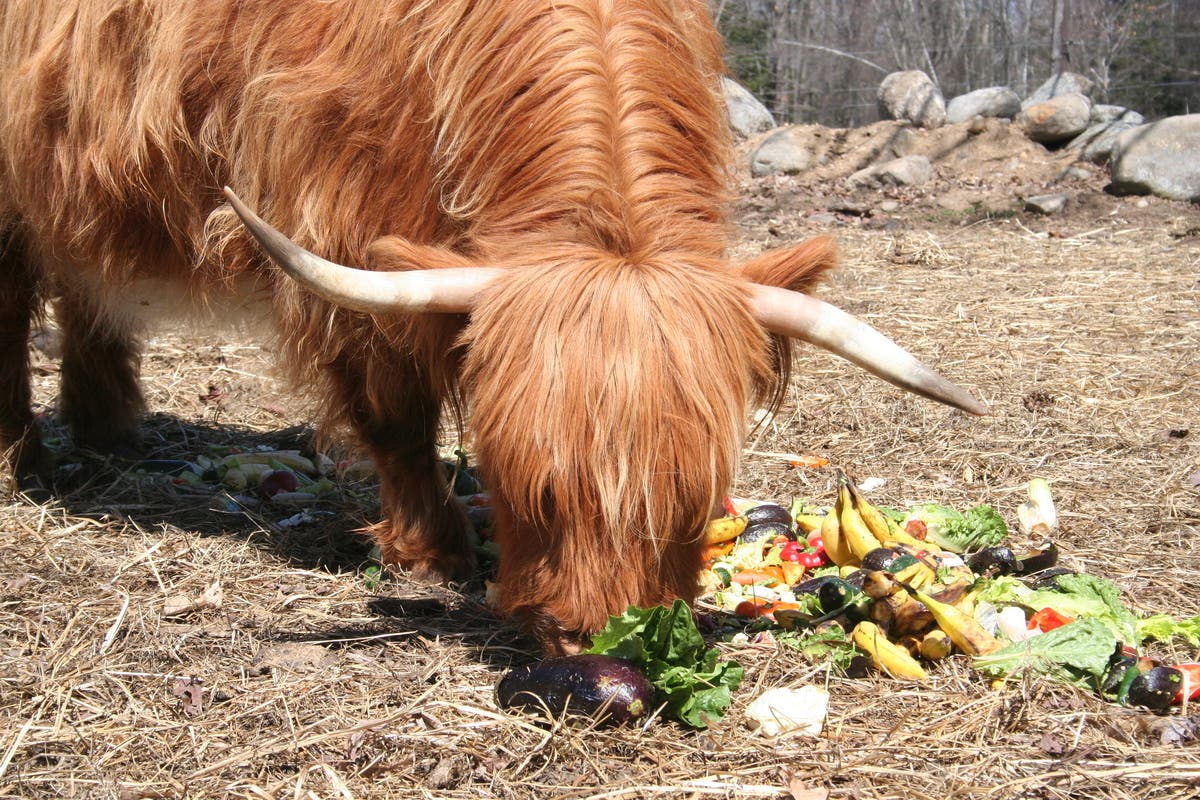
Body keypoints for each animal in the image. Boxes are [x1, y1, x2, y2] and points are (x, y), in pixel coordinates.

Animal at [0, 0, 984, 653]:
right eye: (527, 488)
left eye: (692, 499)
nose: (595, 637)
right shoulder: (334, 222)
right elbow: (394, 412)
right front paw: (433, 551)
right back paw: (24, 460)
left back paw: (110, 430)